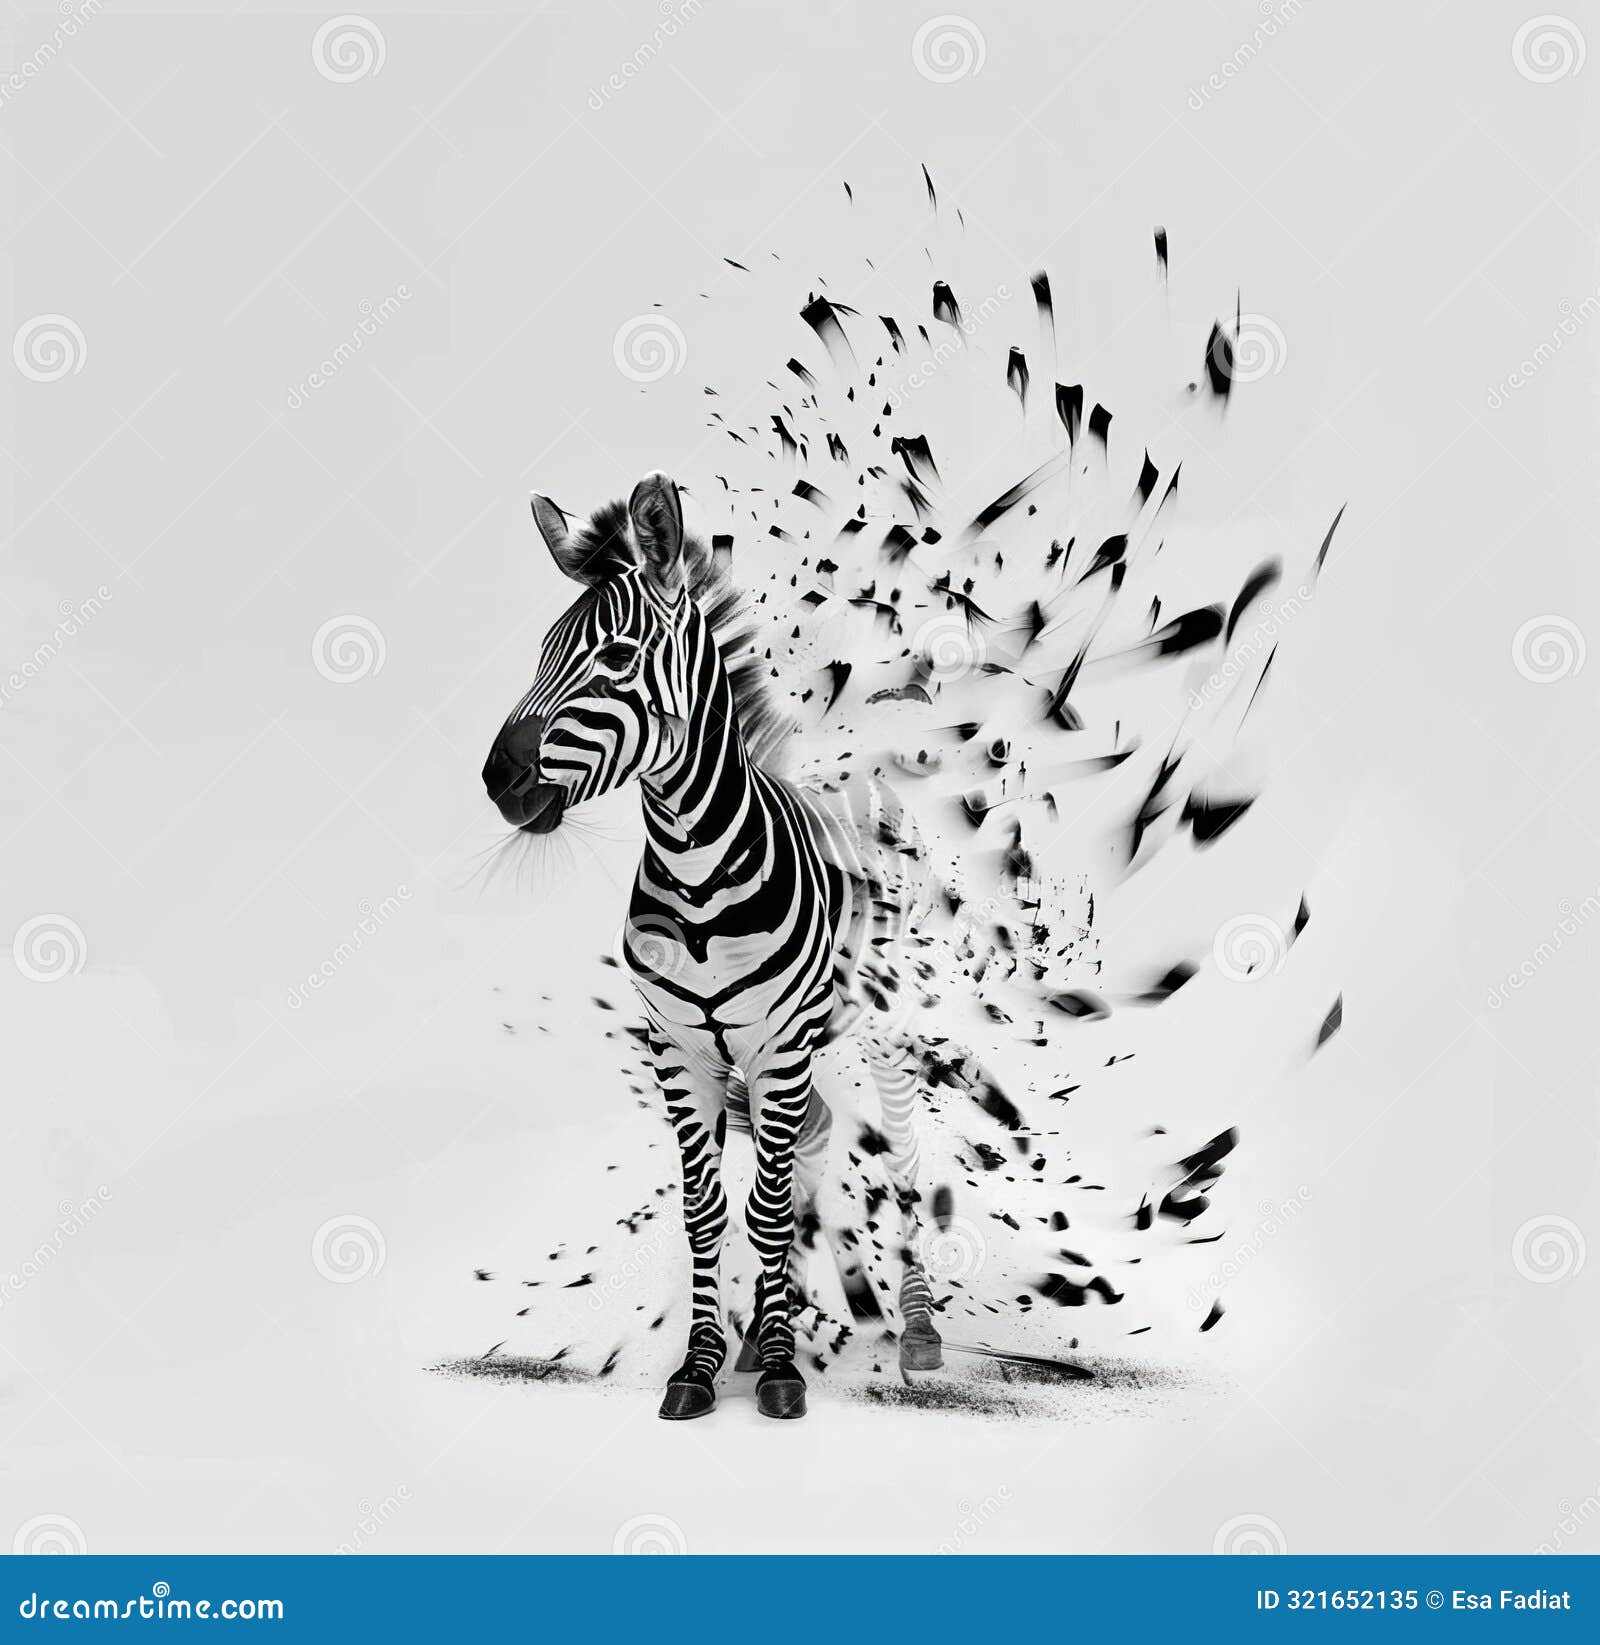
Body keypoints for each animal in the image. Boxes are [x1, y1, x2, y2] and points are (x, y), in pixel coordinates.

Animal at [482, 471, 943, 1421]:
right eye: (544, 649)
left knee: (903, 1148)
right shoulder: (682, 1049)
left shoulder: (775, 1044)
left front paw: (778, 1367)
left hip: (879, 1024)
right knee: (813, 1144)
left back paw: (913, 1324)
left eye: (618, 656)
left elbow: (764, 1207)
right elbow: (709, 1211)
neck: (697, 876)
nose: (498, 778)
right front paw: (707, 1359)